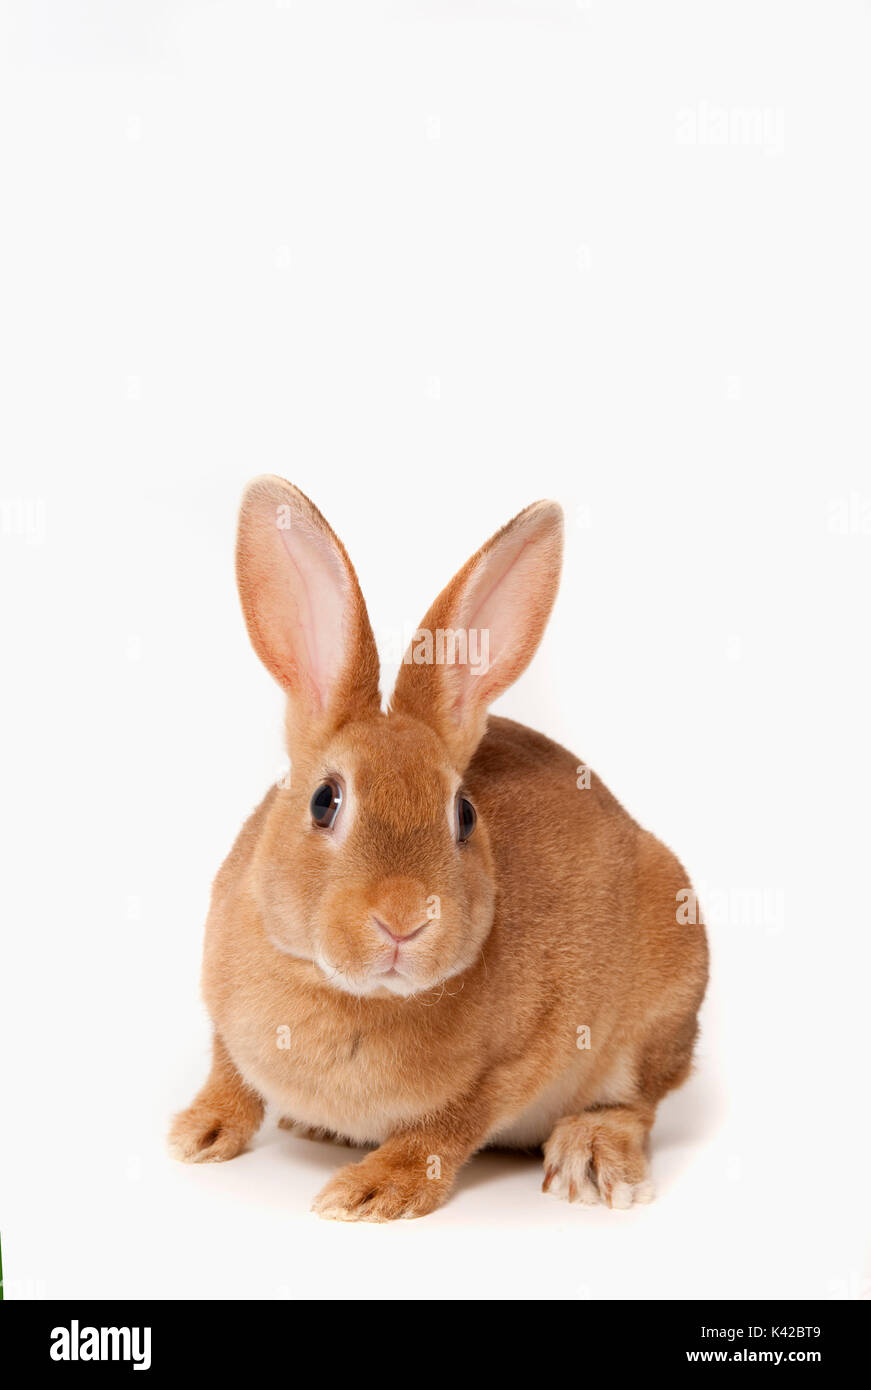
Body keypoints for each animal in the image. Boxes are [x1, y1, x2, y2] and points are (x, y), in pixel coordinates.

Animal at [169, 475, 708, 1221]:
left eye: (464, 814)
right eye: (324, 801)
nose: (403, 919)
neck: (356, 995)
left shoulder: (516, 1062)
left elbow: (447, 1126)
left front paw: (372, 1191)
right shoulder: (224, 1017)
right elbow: (230, 1076)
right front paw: (199, 1133)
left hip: (662, 1005)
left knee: (635, 1104)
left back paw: (594, 1160)